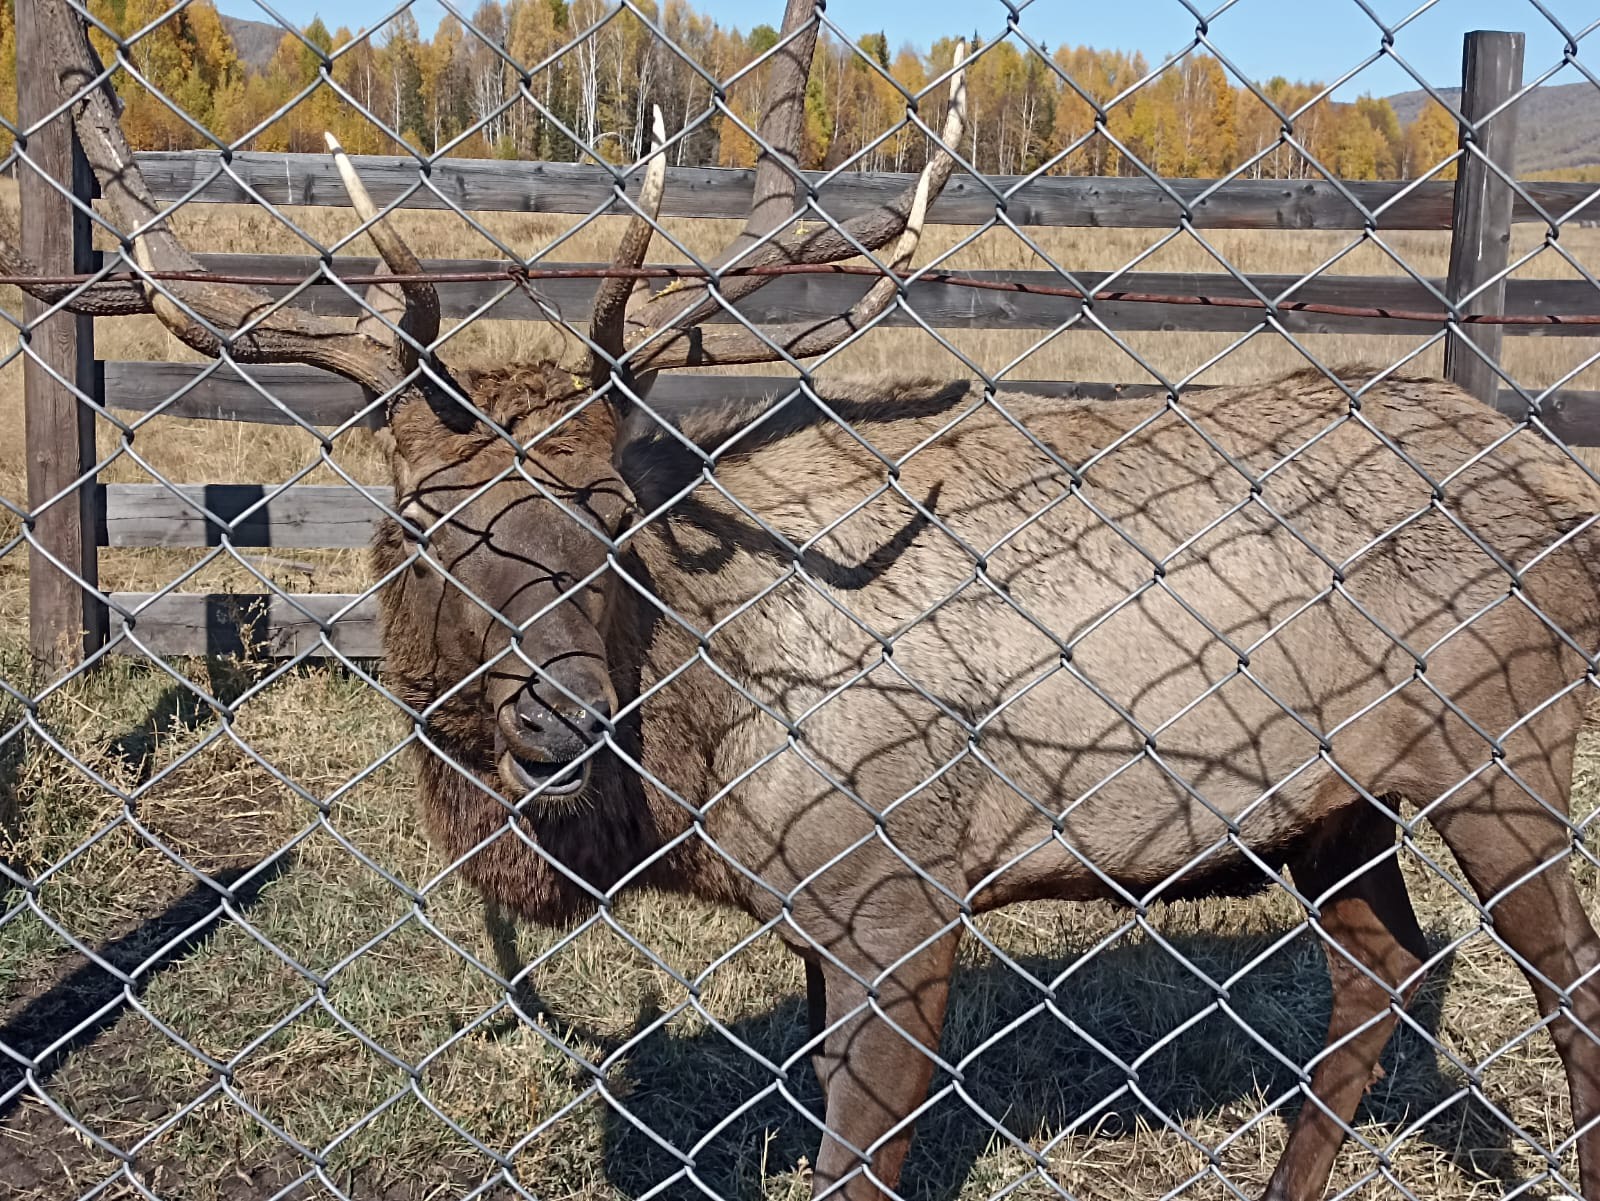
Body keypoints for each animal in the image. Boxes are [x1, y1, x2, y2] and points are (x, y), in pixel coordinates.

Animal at [9, 2, 1600, 1201]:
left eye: (614, 512)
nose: (567, 713)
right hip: (1334, 804)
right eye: (424, 521)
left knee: (1565, 990)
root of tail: (1557, 478)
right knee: (1384, 974)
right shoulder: (822, 919)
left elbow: (858, 1164)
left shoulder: (904, 892)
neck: (695, 776)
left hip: (1504, 756)